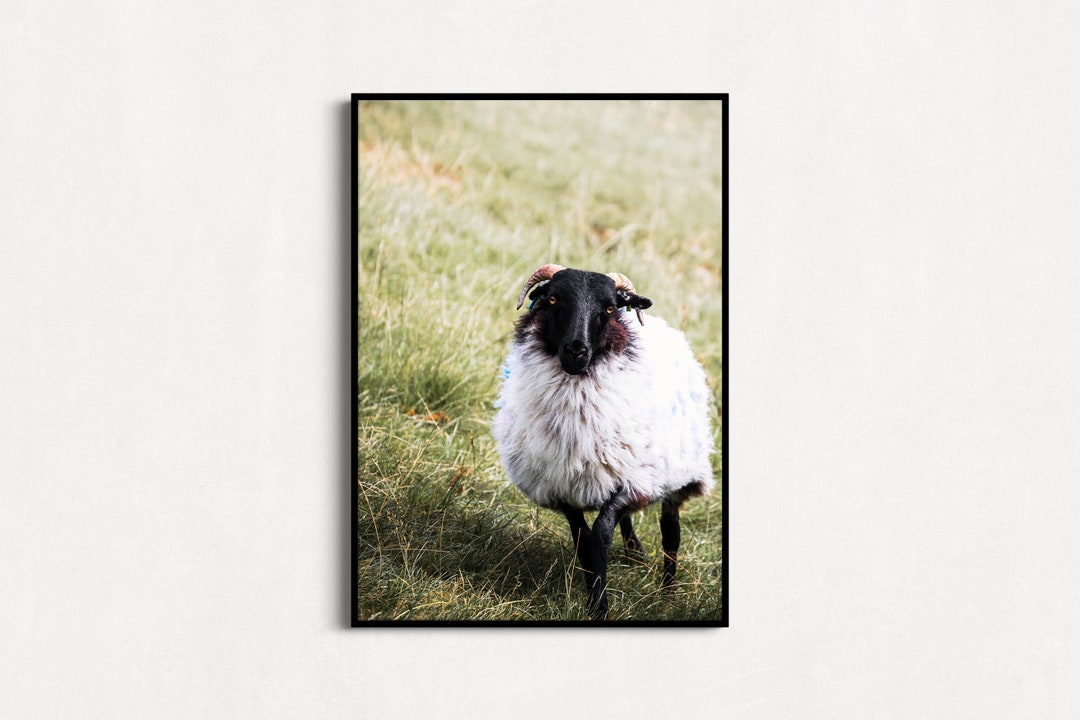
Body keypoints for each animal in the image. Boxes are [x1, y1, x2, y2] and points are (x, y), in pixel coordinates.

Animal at [492, 263, 715, 620]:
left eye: (610, 308)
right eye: (552, 299)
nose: (576, 350)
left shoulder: (632, 482)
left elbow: (600, 536)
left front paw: (600, 606)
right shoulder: (562, 486)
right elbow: (583, 540)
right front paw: (592, 597)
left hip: (675, 472)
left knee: (671, 533)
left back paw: (667, 594)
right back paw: (637, 554)